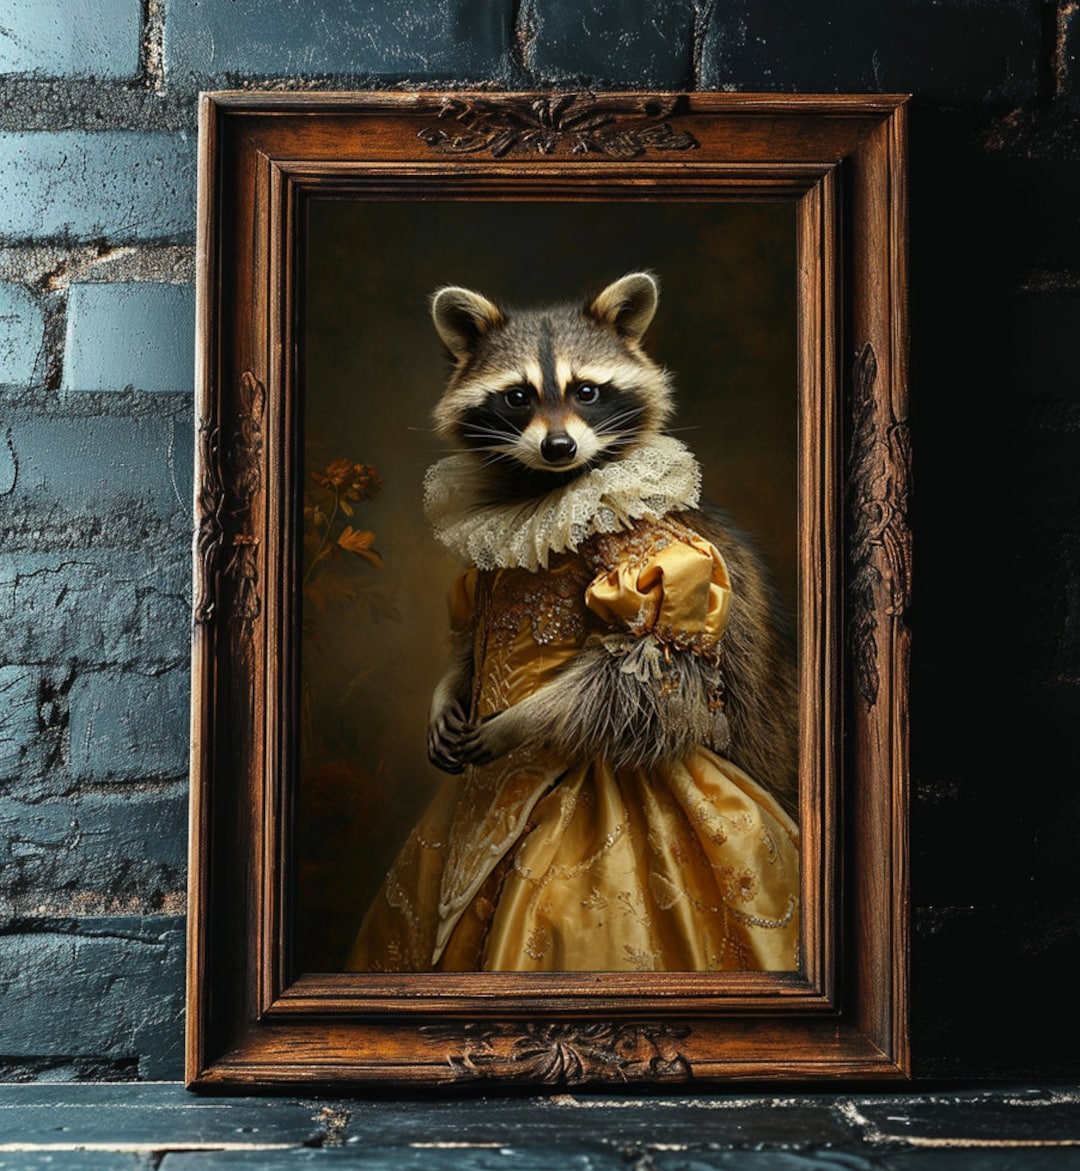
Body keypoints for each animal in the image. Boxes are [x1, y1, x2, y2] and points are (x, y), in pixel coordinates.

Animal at [424, 272, 797, 811]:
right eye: (517, 396)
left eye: (586, 391)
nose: (558, 447)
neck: (548, 489)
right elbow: (472, 628)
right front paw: (449, 687)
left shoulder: (649, 554)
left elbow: (650, 666)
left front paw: (519, 720)